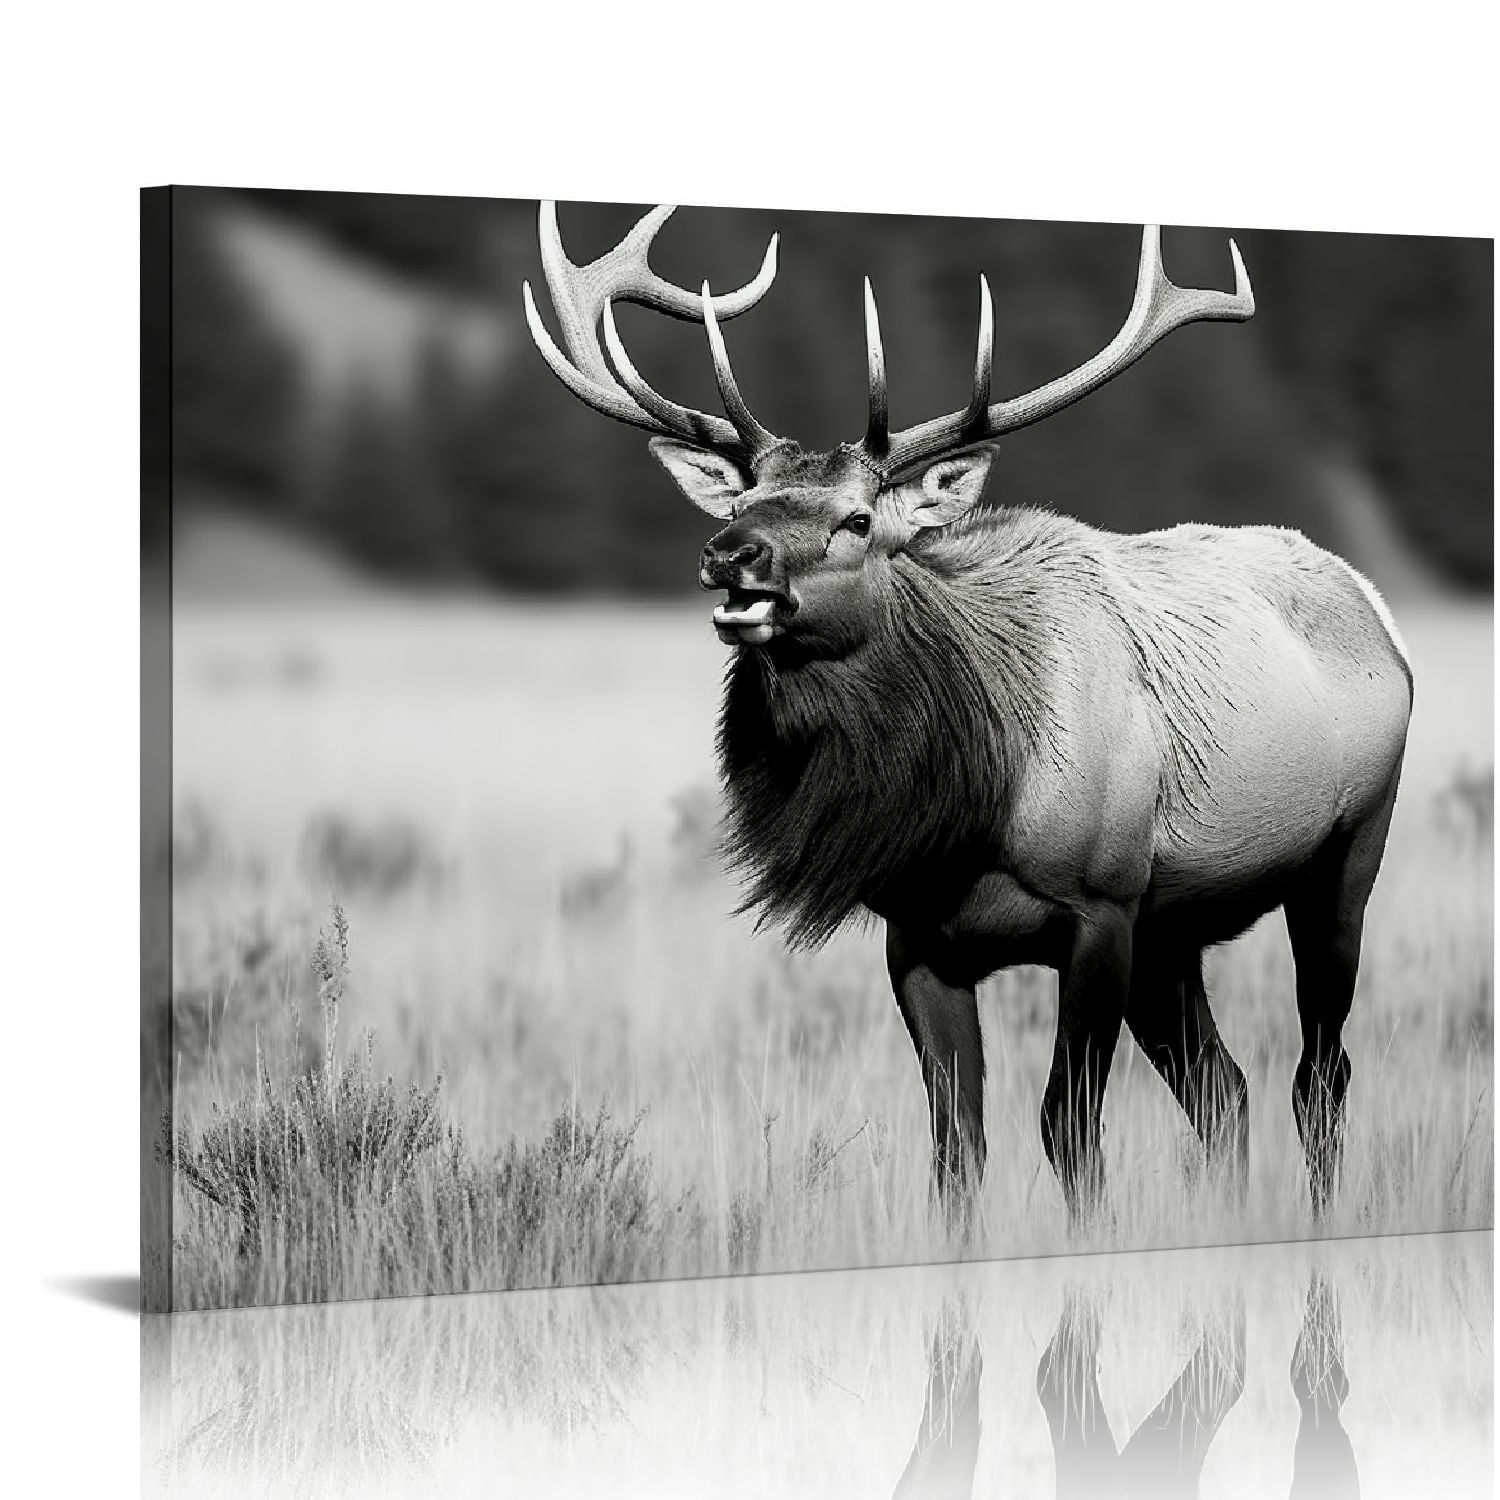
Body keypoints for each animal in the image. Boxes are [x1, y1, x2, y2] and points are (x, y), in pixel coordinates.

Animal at [522, 202, 1413, 1225]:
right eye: (742, 499)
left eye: (858, 521)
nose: (731, 554)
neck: (966, 814)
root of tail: (1375, 607)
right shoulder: (919, 939)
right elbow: (957, 1146)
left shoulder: (1101, 906)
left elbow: (1067, 1129)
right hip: (1175, 930)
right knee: (1224, 1090)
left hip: (1345, 854)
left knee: (1320, 1072)